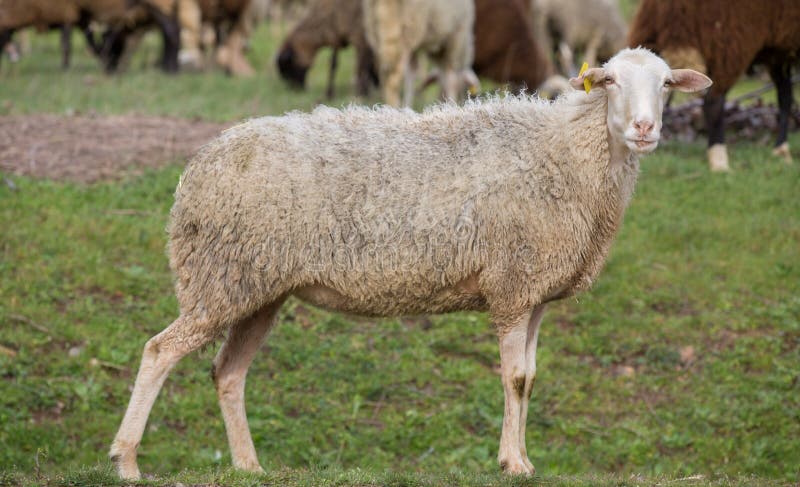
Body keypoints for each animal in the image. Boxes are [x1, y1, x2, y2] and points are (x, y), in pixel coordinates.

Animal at [109, 48, 710, 479]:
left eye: (665, 86)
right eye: (609, 82)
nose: (644, 130)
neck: (570, 154)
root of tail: (197, 167)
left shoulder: (534, 290)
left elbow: (530, 379)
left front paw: (518, 456)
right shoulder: (513, 284)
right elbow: (515, 378)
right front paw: (514, 463)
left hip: (258, 287)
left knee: (228, 373)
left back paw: (248, 467)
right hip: (220, 277)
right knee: (159, 352)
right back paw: (128, 461)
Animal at [628, 0, 800, 171]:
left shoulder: (778, 53)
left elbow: (785, 97)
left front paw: (781, 149)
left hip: (648, 35)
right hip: (731, 41)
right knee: (713, 102)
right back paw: (719, 158)